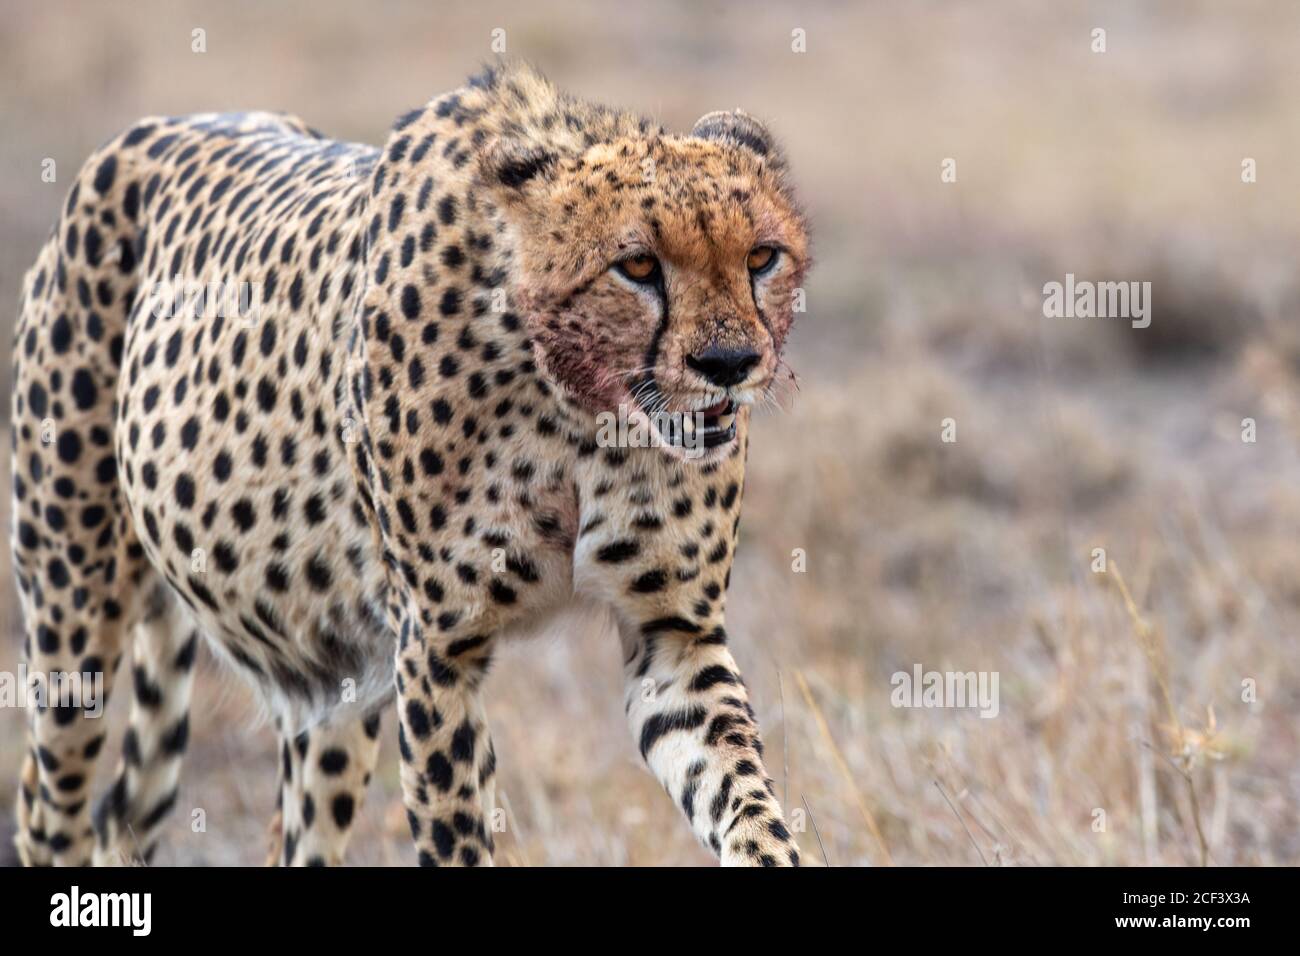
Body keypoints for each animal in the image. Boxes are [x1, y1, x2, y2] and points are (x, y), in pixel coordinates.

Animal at [9, 61, 809, 867]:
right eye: (637, 265)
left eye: (761, 257)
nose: (731, 363)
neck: (578, 411)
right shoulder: (435, 649)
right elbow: (456, 829)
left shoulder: (672, 634)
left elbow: (746, 803)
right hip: (74, 614)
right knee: (50, 809)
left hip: (331, 683)